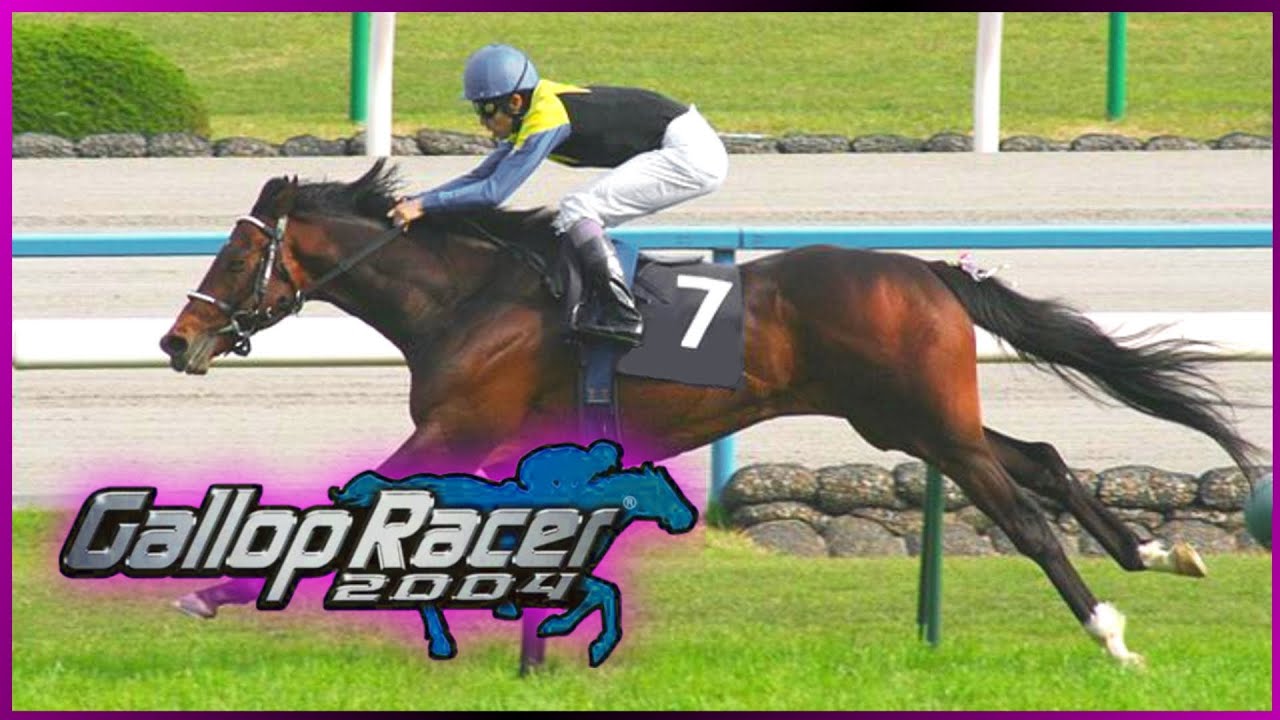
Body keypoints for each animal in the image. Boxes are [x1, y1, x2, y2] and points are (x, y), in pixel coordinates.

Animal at [329, 439, 697, 666]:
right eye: (666, 491)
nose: (687, 517)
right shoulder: (550, 573)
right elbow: (604, 593)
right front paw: (589, 642)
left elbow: (601, 594)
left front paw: (555, 626)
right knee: (425, 596)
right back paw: (442, 644)